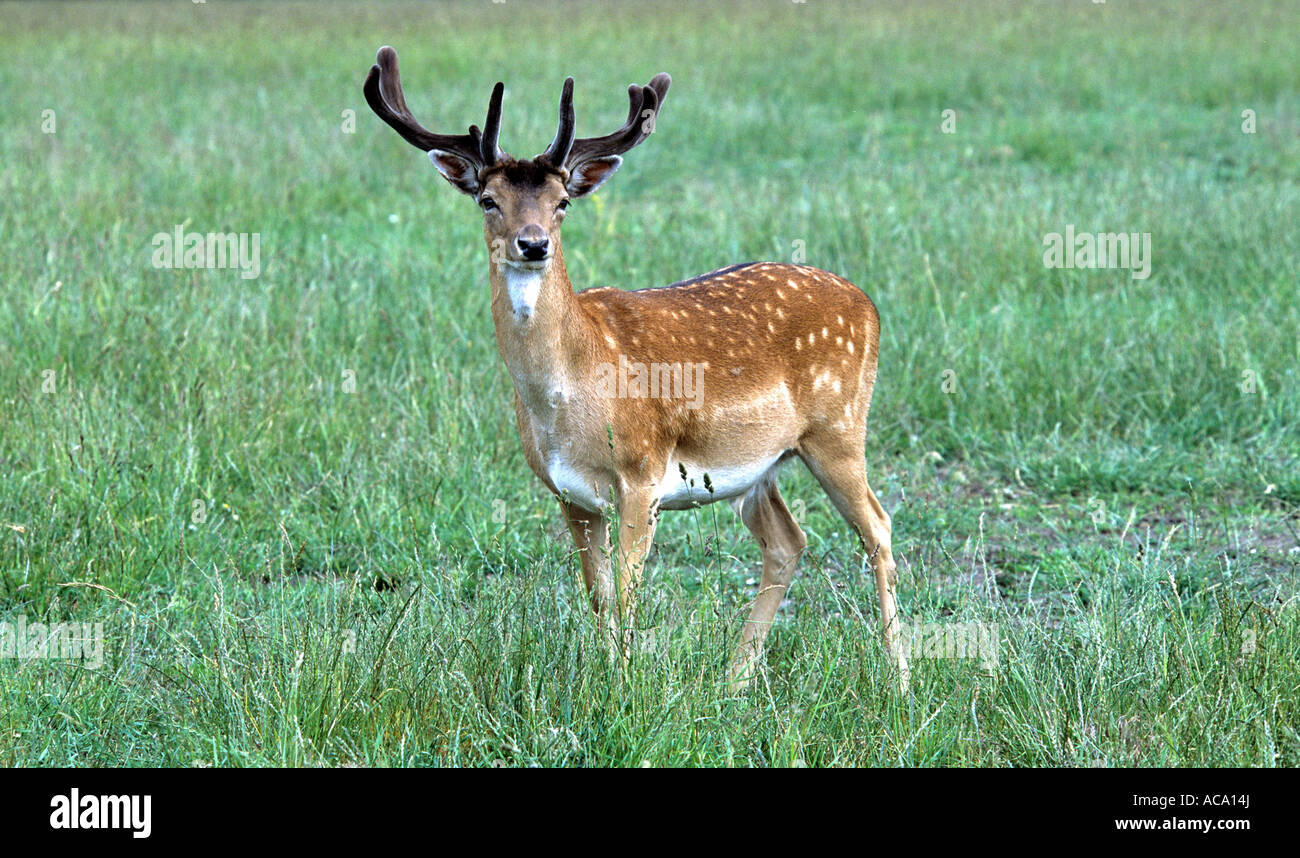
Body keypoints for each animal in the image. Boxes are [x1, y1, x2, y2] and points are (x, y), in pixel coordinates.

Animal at [363, 46, 908, 692]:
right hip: (761, 463)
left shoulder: (643, 471)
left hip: (839, 427)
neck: (570, 394)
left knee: (878, 527)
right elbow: (598, 597)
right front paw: (606, 677)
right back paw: (735, 680)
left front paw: (624, 689)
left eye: (563, 202)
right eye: (488, 199)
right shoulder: (567, 493)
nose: (533, 243)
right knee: (787, 540)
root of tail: (869, 304)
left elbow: (626, 596)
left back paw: (899, 676)